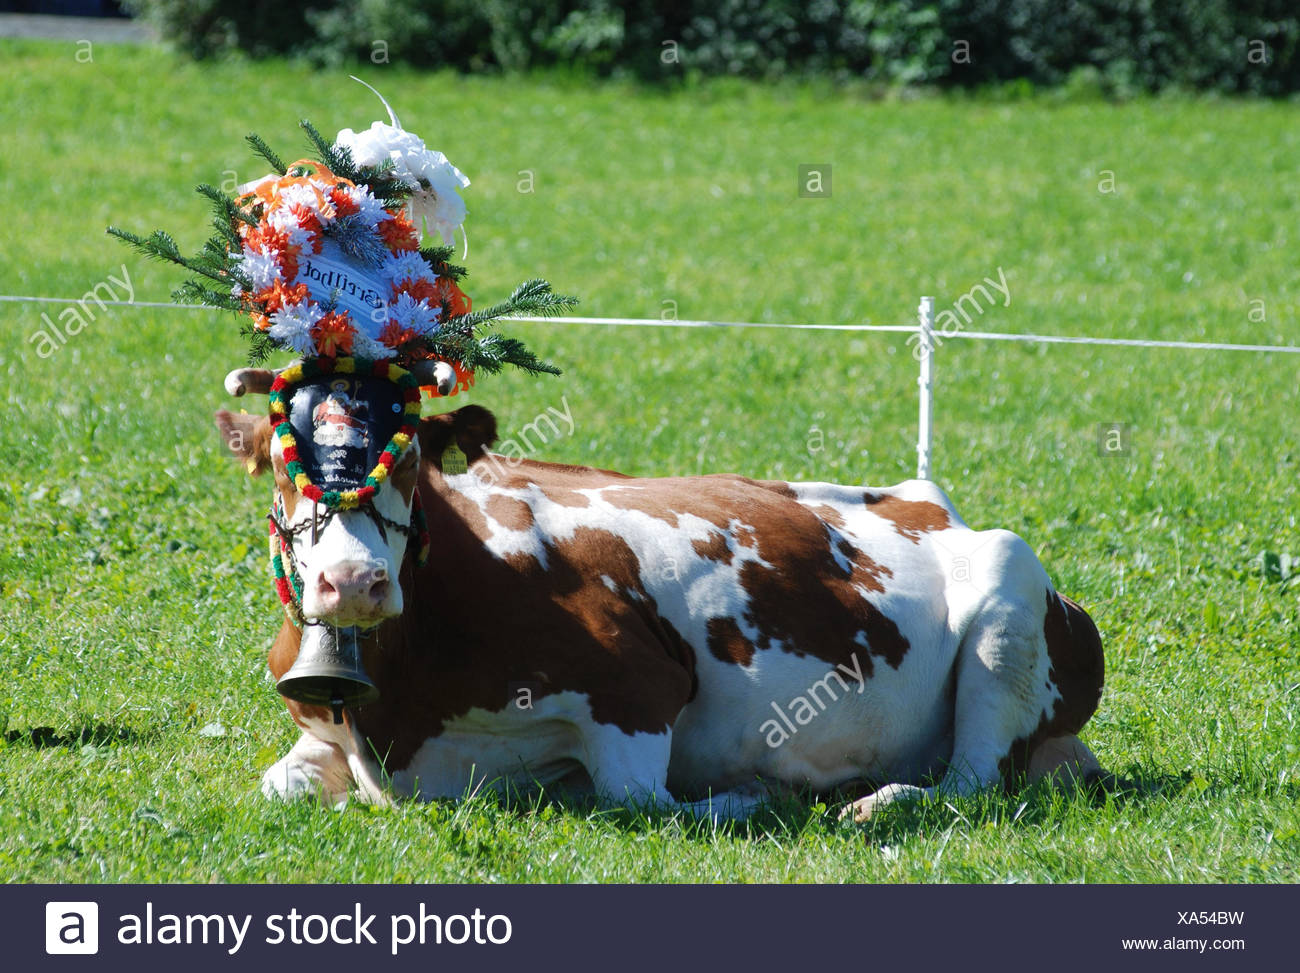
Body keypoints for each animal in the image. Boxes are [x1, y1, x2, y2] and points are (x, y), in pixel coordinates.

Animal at [216, 366, 1105, 822]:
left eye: (404, 459)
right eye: (283, 465)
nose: (352, 582)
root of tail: (926, 498)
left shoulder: (638, 692)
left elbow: (641, 799)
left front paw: (754, 791)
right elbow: (277, 784)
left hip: (1008, 601)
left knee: (969, 780)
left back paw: (875, 800)